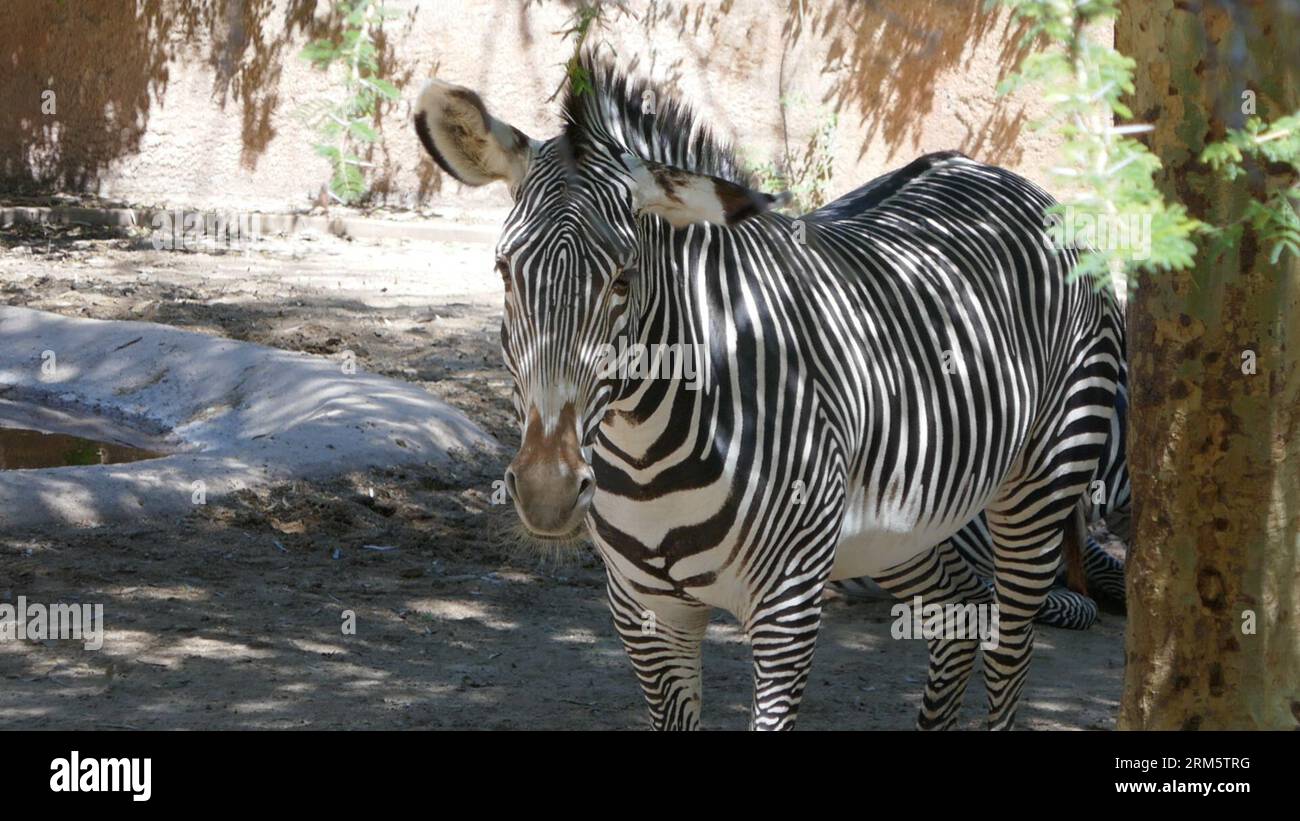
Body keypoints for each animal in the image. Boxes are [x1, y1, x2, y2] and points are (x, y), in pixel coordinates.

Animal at [413, 53, 1124, 730]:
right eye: (504, 271)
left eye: (623, 279)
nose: (547, 492)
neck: (645, 453)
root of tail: (997, 174)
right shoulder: (646, 615)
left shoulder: (787, 606)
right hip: (900, 524)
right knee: (961, 609)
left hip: (1040, 484)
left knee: (1010, 652)